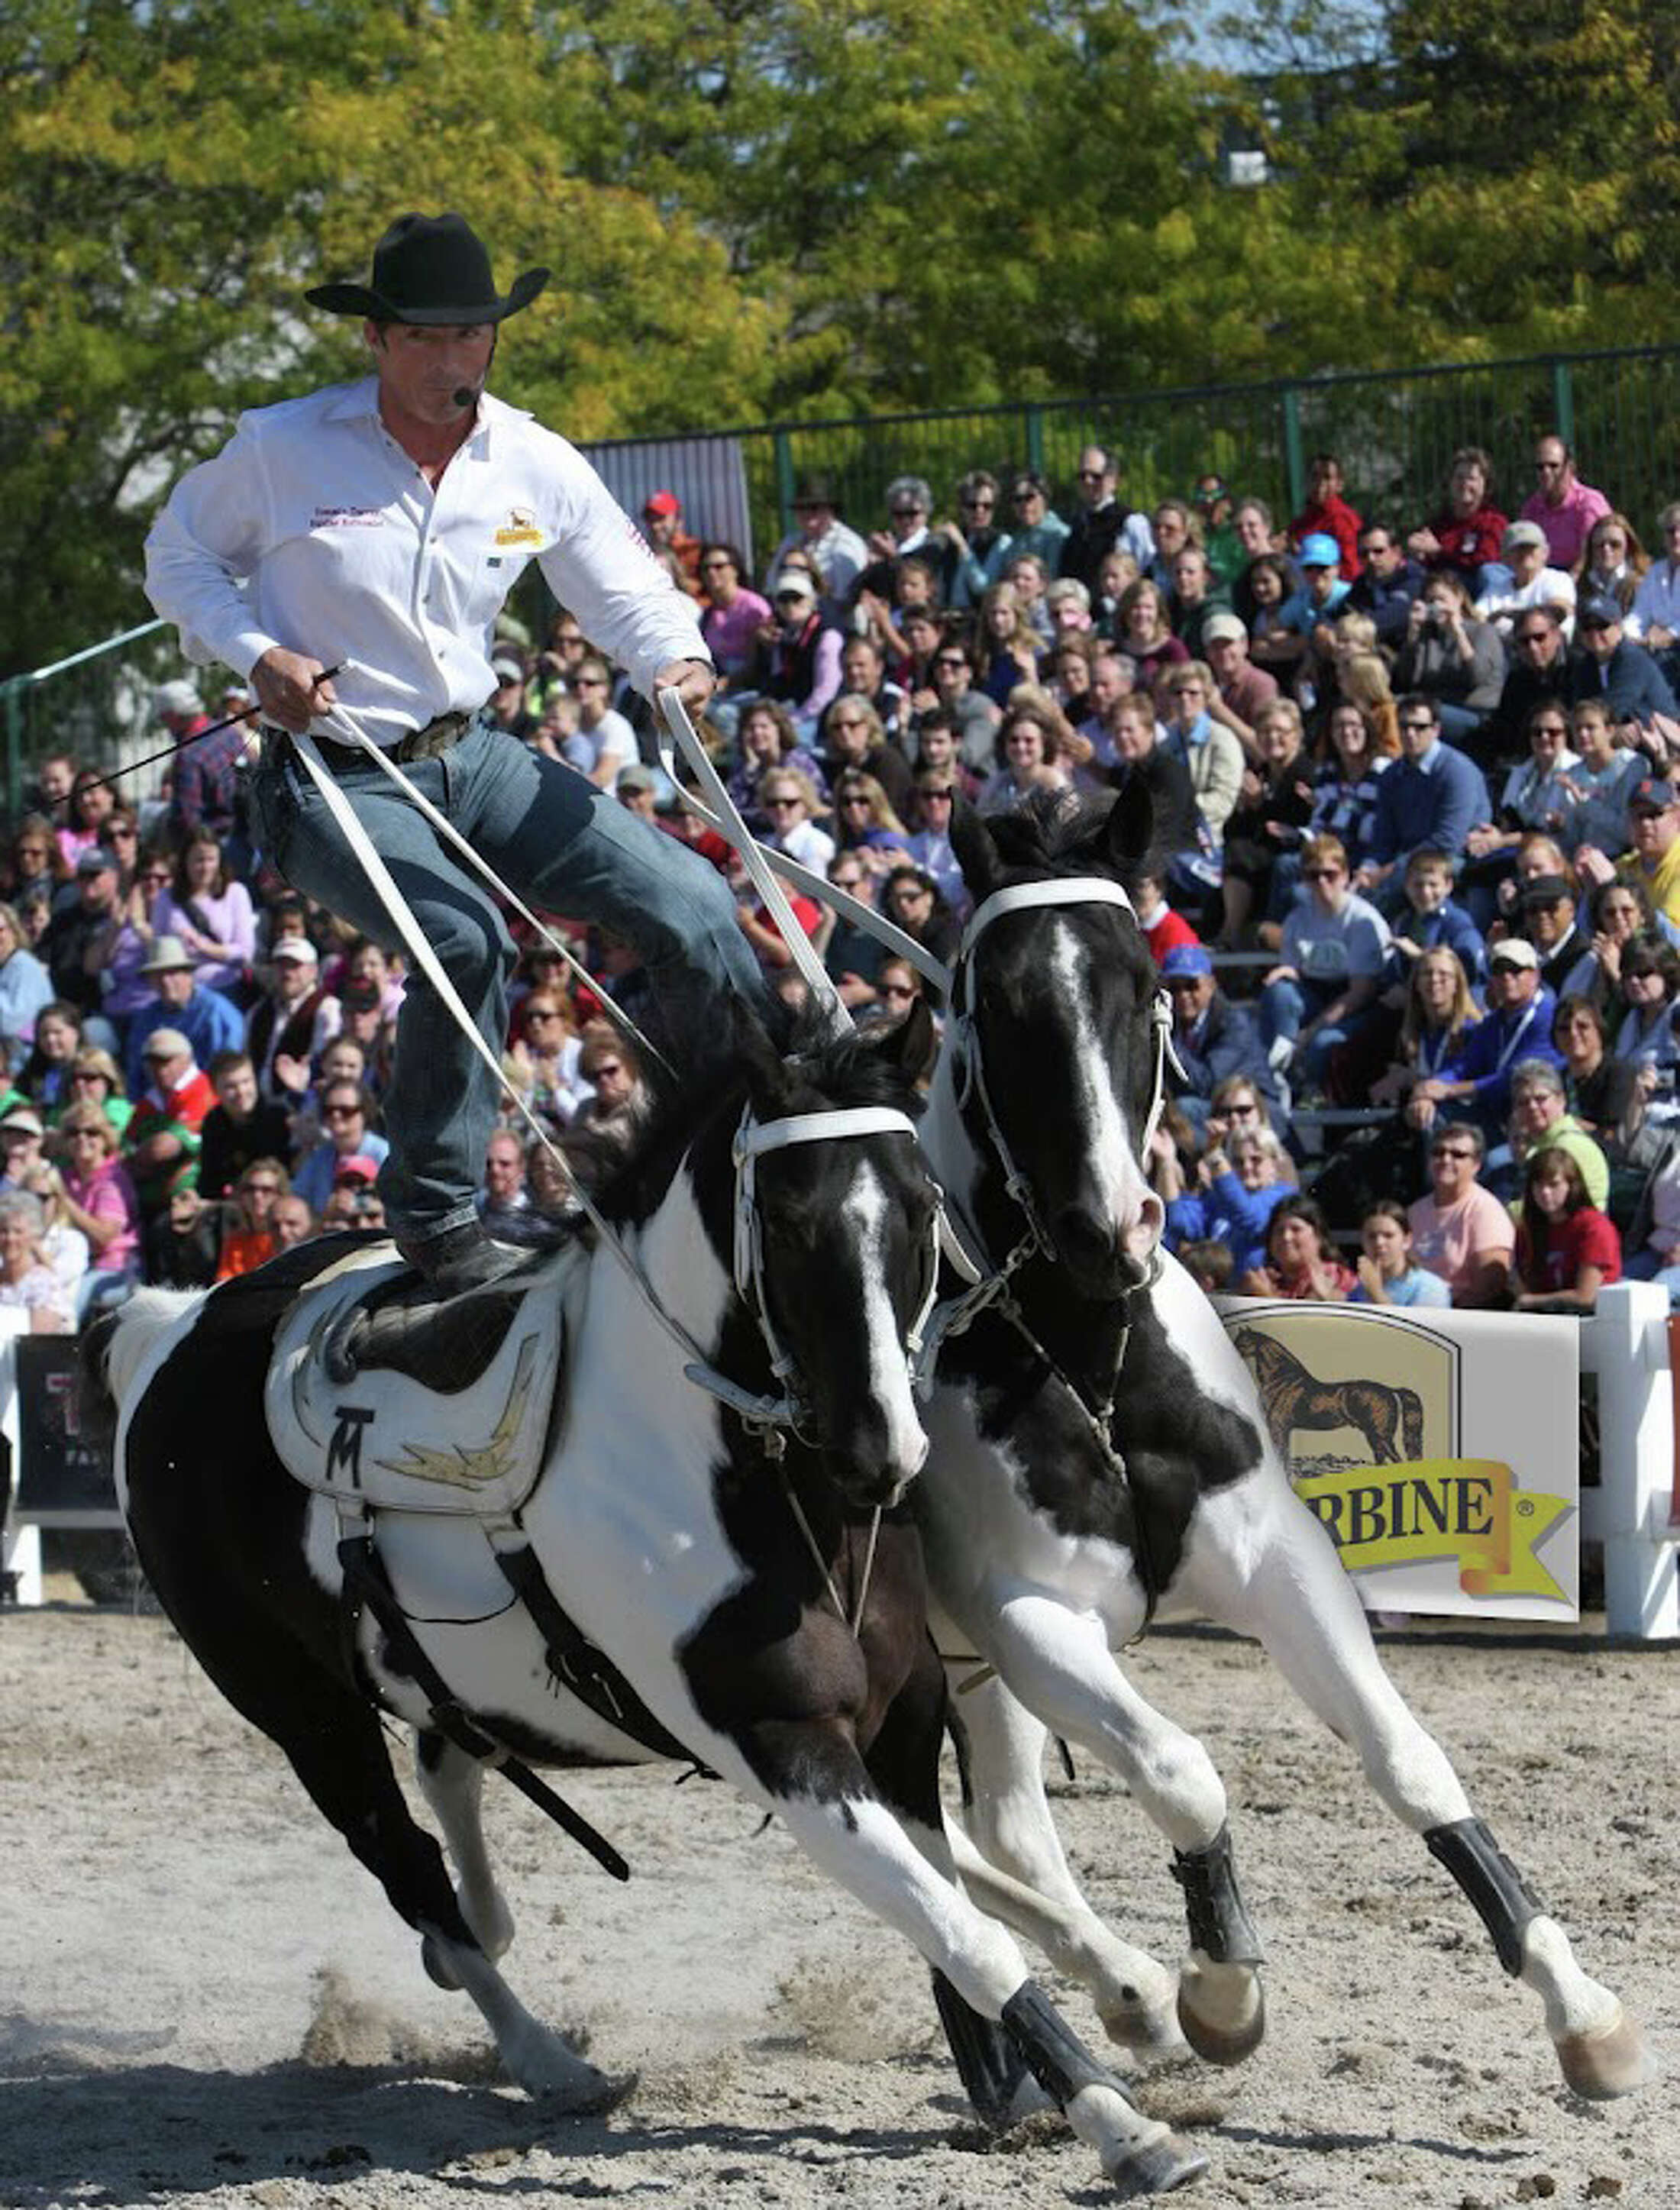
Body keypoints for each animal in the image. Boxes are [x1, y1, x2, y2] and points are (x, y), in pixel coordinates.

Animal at [85, 1007, 1207, 2201]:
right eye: (788, 1218)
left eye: (920, 1208)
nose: (882, 1452)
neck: (735, 1472)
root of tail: (173, 1329)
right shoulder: (784, 1743)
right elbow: (970, 1932)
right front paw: (1120, 2124)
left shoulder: (902, 1723)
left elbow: (953, 1902)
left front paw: (1030, 2069)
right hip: (305, 1714)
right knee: (408, 1863)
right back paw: (546, 2056)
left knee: (447, 1772)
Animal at [1231, 1326, 1426, 1467]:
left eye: (1243, 1342)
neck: (1281, 1379)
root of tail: (1389, 1390)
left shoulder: (1279, 1427)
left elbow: (1283, 1458)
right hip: (1375, 1437)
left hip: (1381, 1436)